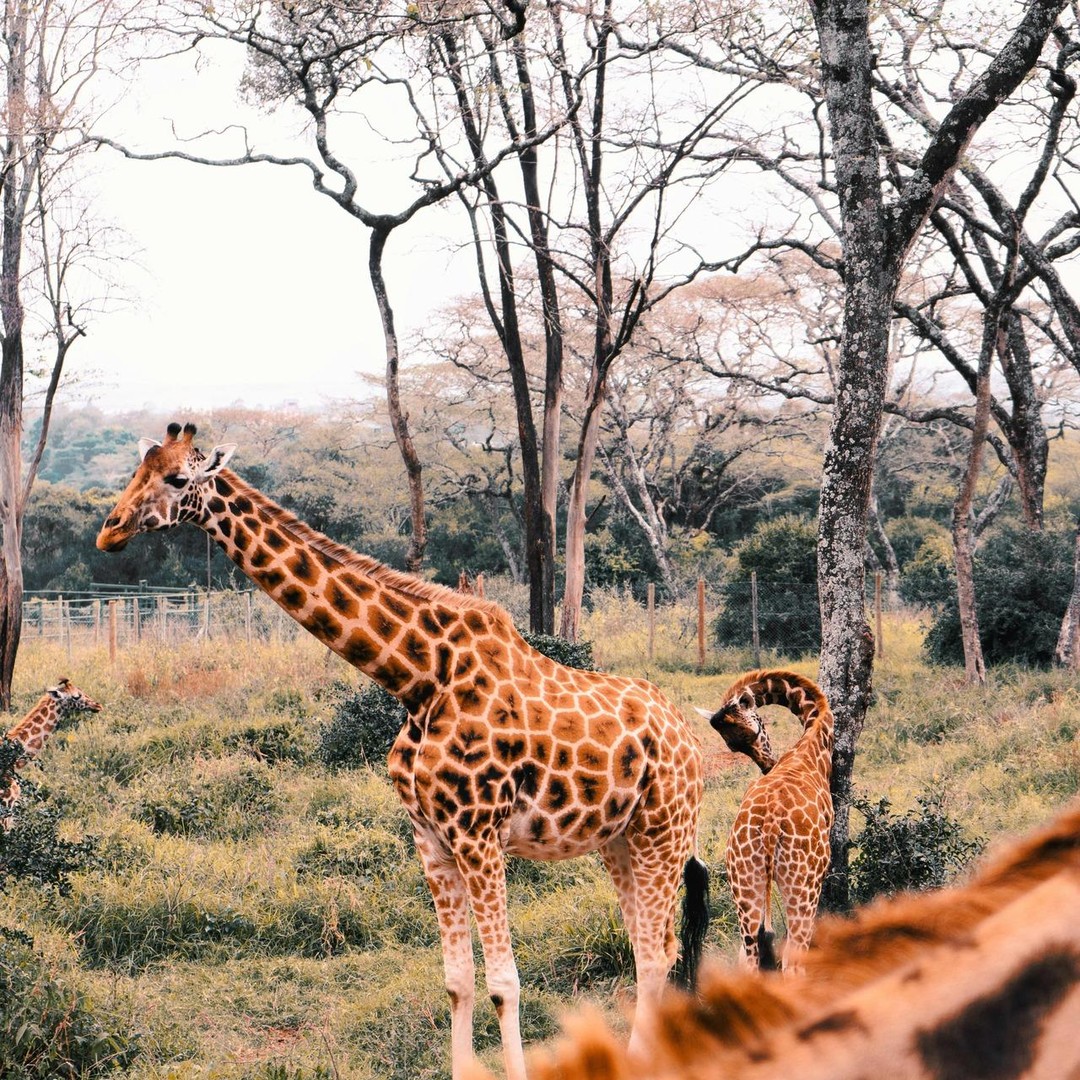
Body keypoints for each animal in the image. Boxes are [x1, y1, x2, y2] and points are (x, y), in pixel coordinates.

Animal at [95, 422, 710, 1080]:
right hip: (620, 840)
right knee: (651, 947)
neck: (418, 680)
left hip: (664, 832)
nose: (109, 529)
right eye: (137, 470)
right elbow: (458, 980)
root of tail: (688, 737)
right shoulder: (431, 838)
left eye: (176, 478)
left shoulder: (479, 834)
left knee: (657, 952)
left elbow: (504, 983)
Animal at [699, 669, 833, 973]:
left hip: (743, 883)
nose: (767, 765)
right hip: (804, 887)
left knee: (750, 959)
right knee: (793, 960)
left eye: (754, 733)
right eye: (735, 744)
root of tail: (771, 826)